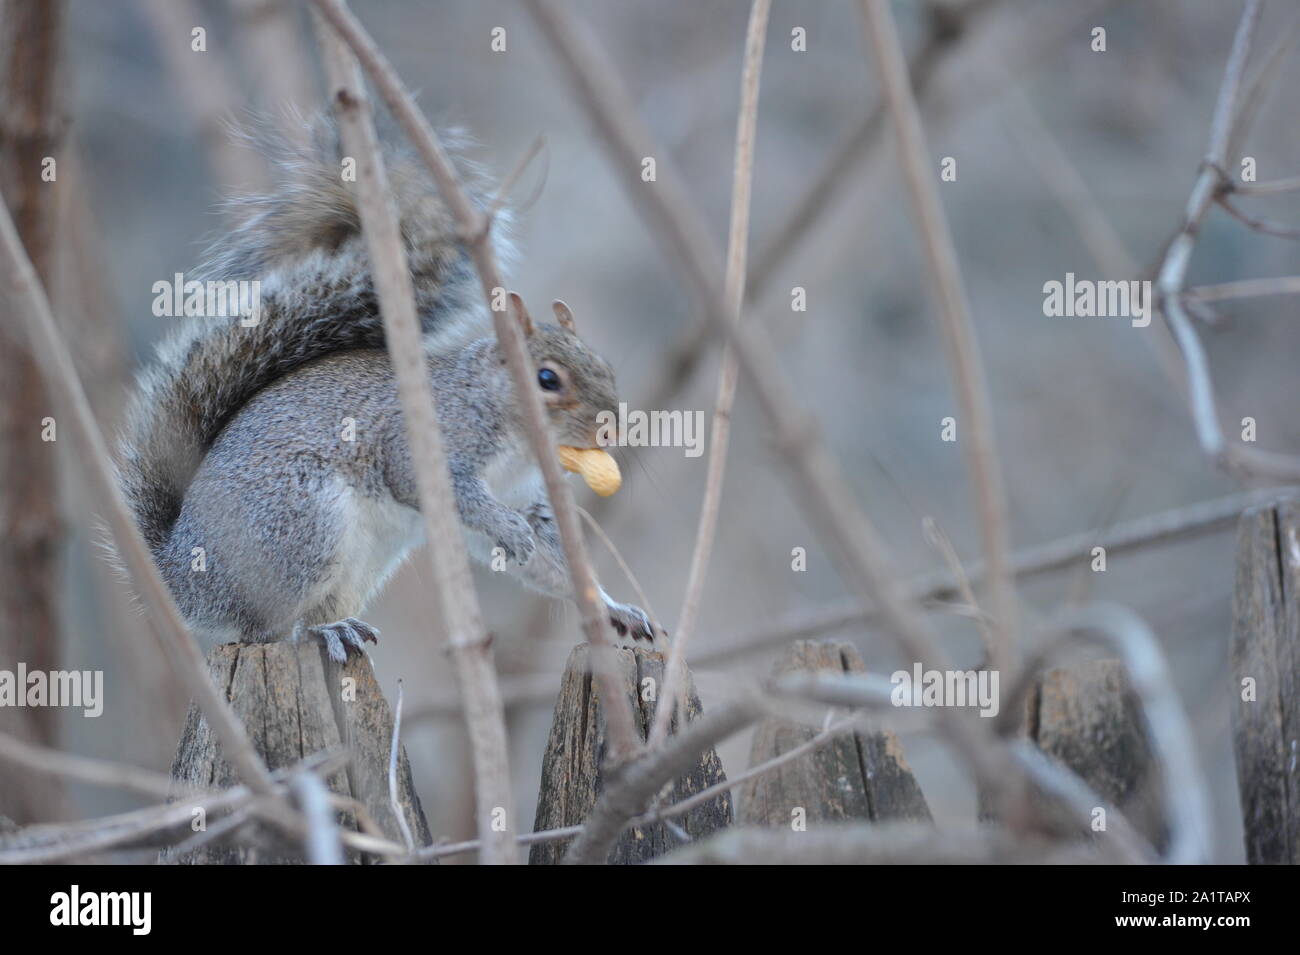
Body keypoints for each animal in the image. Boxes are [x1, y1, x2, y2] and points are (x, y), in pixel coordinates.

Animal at [114, 116, 657, 663]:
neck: (511, 433)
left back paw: (340, 626)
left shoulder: (526, 496)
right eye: (547, 379)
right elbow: (439, 488)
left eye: (605, 366)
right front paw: (506, 526)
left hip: (353, 564)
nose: (612, 431)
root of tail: (182, 575)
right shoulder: (426, 444)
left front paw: (613, 609)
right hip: (298, 527)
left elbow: (550, 565)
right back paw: (318, 632)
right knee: (263, 629)